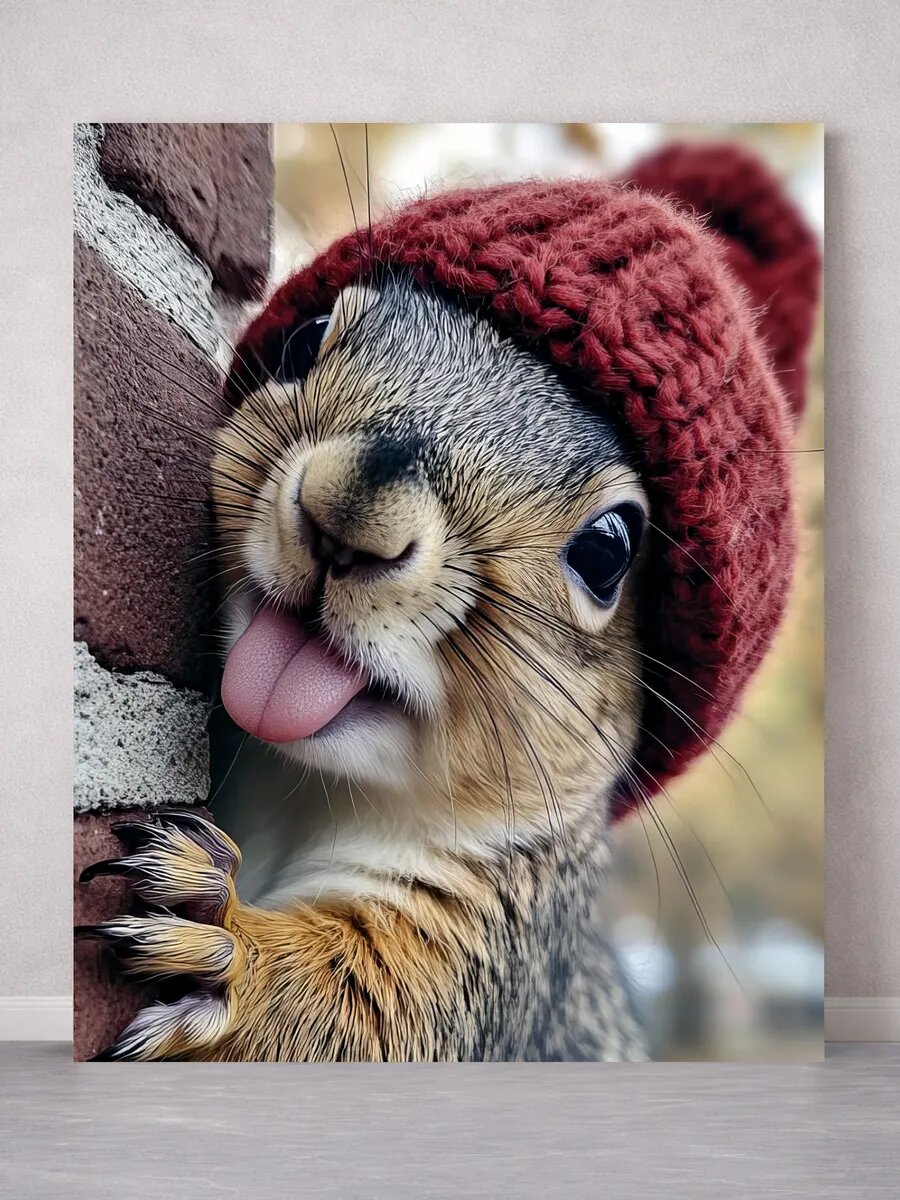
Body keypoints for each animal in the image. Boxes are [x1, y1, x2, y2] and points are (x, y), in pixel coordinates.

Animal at [78, 142, 820, 1061]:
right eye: (306, 340)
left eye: (608, 549)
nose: (346, 520)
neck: (305, 788)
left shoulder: (498, 936)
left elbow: (371, 1012)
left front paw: (227, 940)